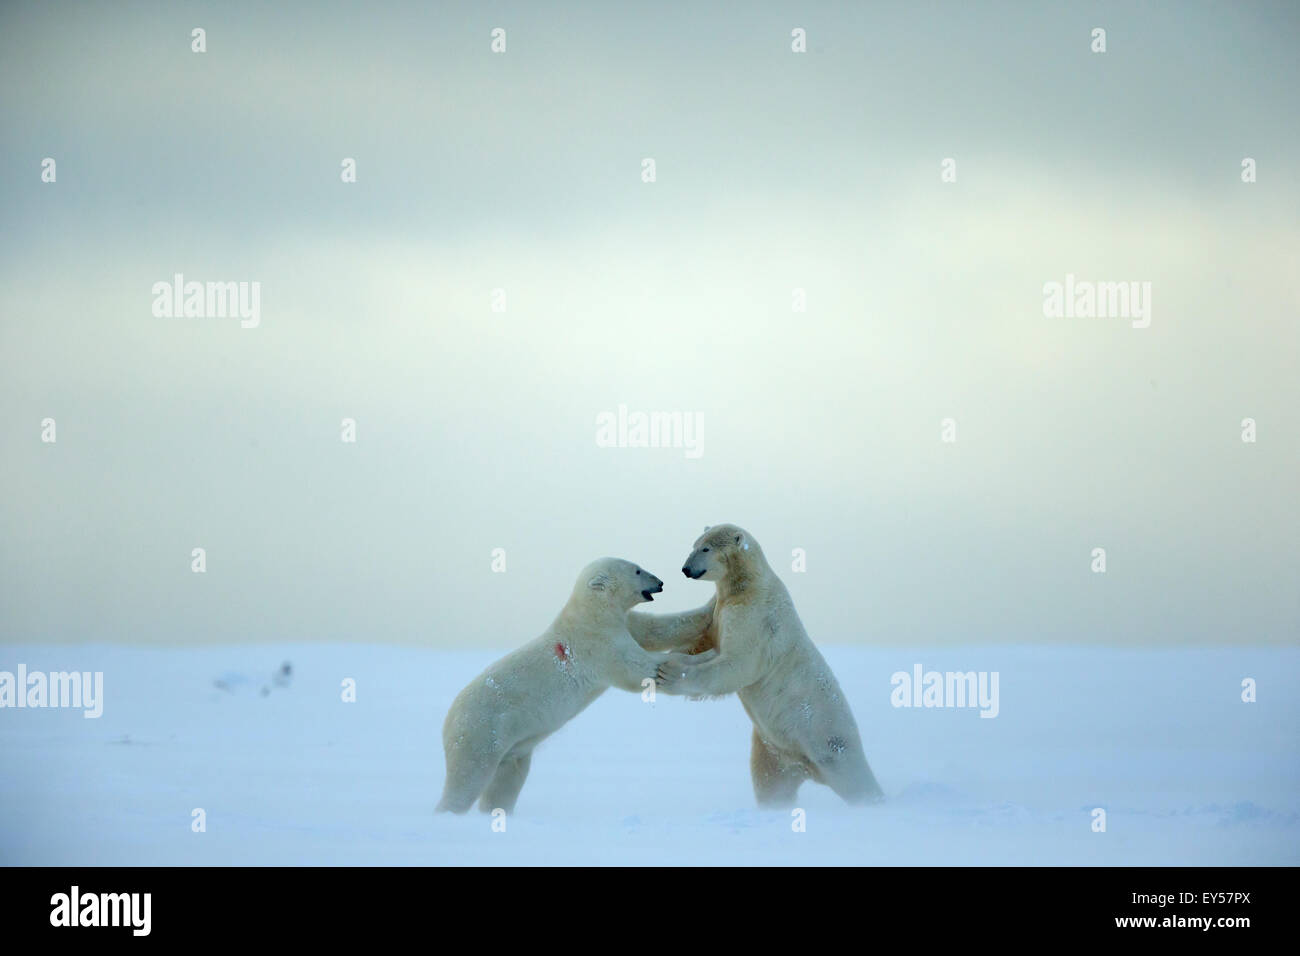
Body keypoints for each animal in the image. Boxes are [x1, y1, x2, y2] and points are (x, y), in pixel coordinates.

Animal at [435, 558, 667, 814]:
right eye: (637, 570)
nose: (660, 582)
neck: (590, 613)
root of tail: (449, 720)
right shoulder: (598, 644)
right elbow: (636, 670)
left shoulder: (616, 626)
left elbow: (648, 631)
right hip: (482, 733)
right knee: (468, 779)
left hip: (514, 749)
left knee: (505, 784)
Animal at [653, 524, 884, 807]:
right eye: (694, 545)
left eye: (705, 548)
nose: (686, 569)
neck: (748, 585)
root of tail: (808, 768)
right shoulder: (721, 609)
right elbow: (710, 648)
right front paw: (674, 659)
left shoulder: (756, 618)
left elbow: (736, 664)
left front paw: (670, 674)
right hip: (773, 751)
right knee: (771, 786)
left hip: (829, 740)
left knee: (856, 781)